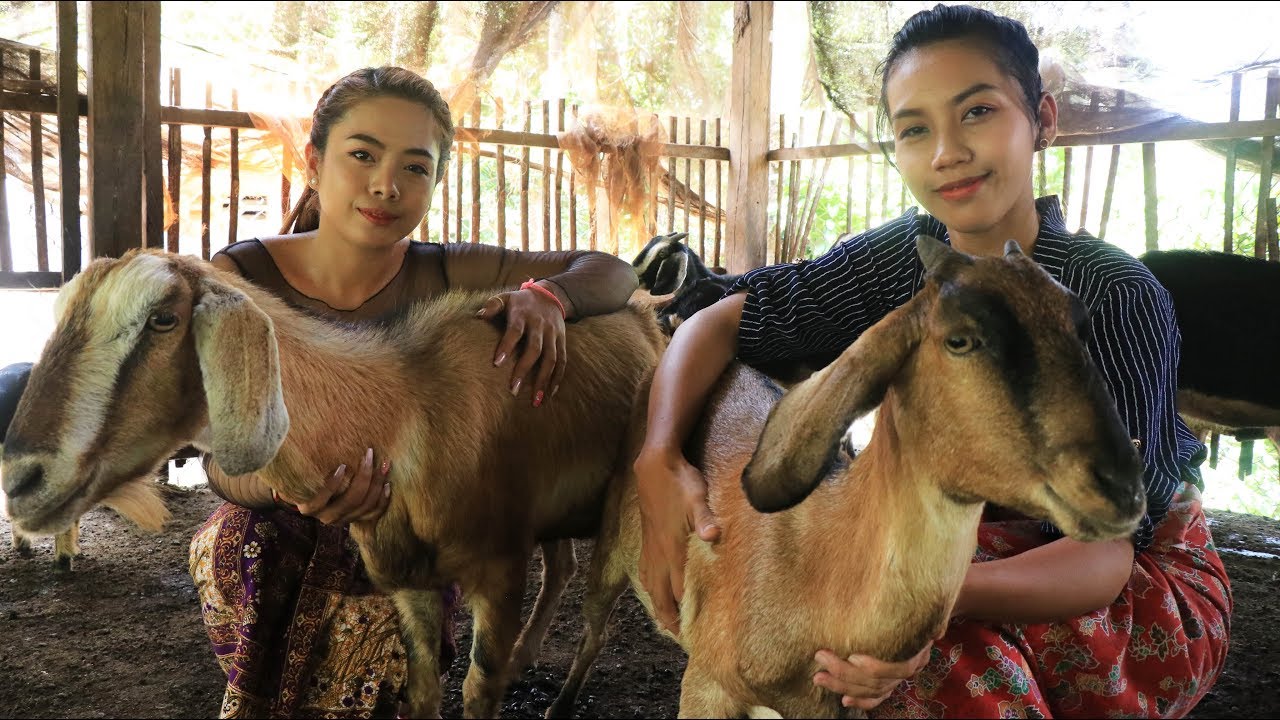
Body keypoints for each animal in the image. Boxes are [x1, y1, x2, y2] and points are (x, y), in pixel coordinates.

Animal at [0, 248, 667, 718]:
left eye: (164, 318)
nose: (18, 479)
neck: (407, 409)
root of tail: (644, 308)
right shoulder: (410, 581)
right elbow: (424, 692)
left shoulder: (499, 573)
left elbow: (479, 692)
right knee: (563, 569)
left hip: (616, 521)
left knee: (597, 613)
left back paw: (562, 700)